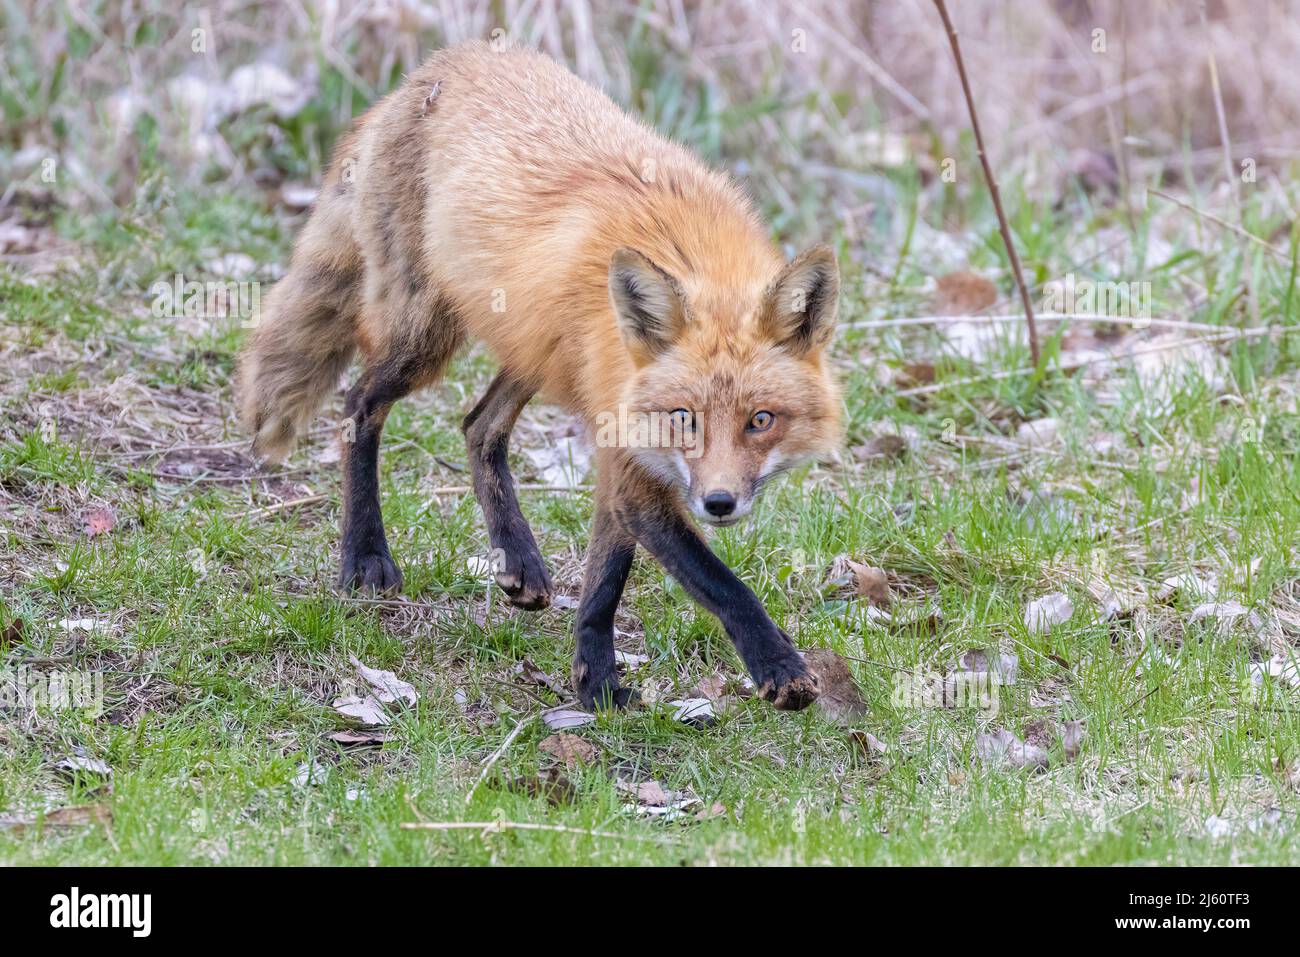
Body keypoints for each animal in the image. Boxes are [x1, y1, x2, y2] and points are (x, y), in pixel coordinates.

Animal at [236, 41, 843, 712]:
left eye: (761, 420)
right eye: (684, 418)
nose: (719, 503)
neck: (694, 257)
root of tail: (437, 65)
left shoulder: (620, 453)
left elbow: (606, 578)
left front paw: (595, 680)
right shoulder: (632, 463)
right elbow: (721, 582)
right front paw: (777, 664)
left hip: (532, 347)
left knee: (477, 427)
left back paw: (518, 557)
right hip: (424, 335)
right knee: (358, 406)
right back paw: (365, 555)